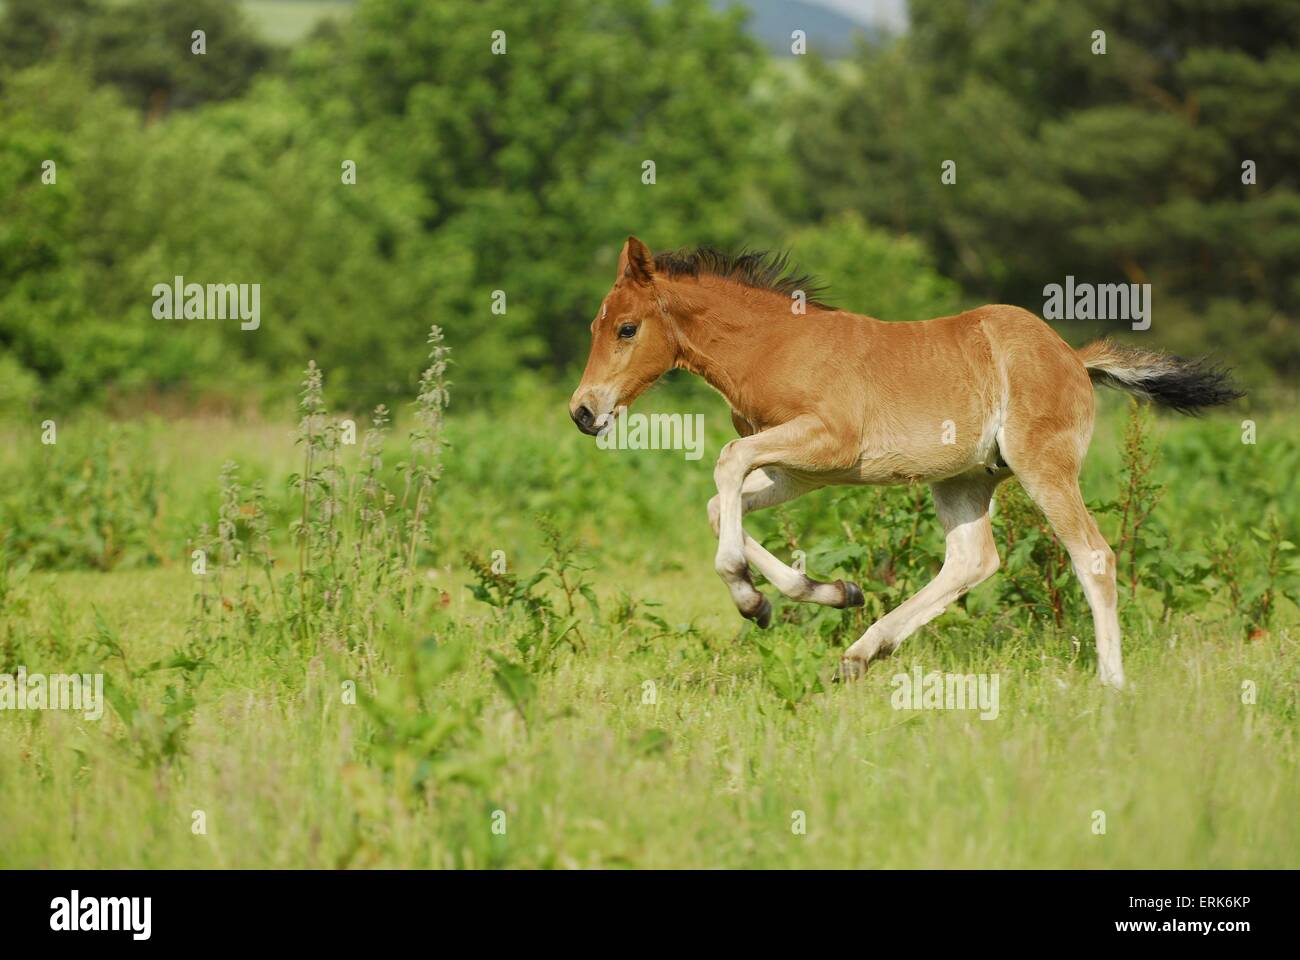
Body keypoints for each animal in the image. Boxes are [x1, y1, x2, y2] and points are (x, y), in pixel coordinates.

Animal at [569, 236, 1242, 687]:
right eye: (597, 325)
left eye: (626, 329)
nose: (583, 412)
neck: (773, 345)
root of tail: (1073, 357)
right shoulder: (801, 471)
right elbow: (718, 503)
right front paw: (830, 592)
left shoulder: (828, 442)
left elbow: (727, 464)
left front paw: (750, 598)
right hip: (963, 479)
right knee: (973, 559)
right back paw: (862, 652)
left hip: (1042, 466)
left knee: (1093, 554)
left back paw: (1111, 684)